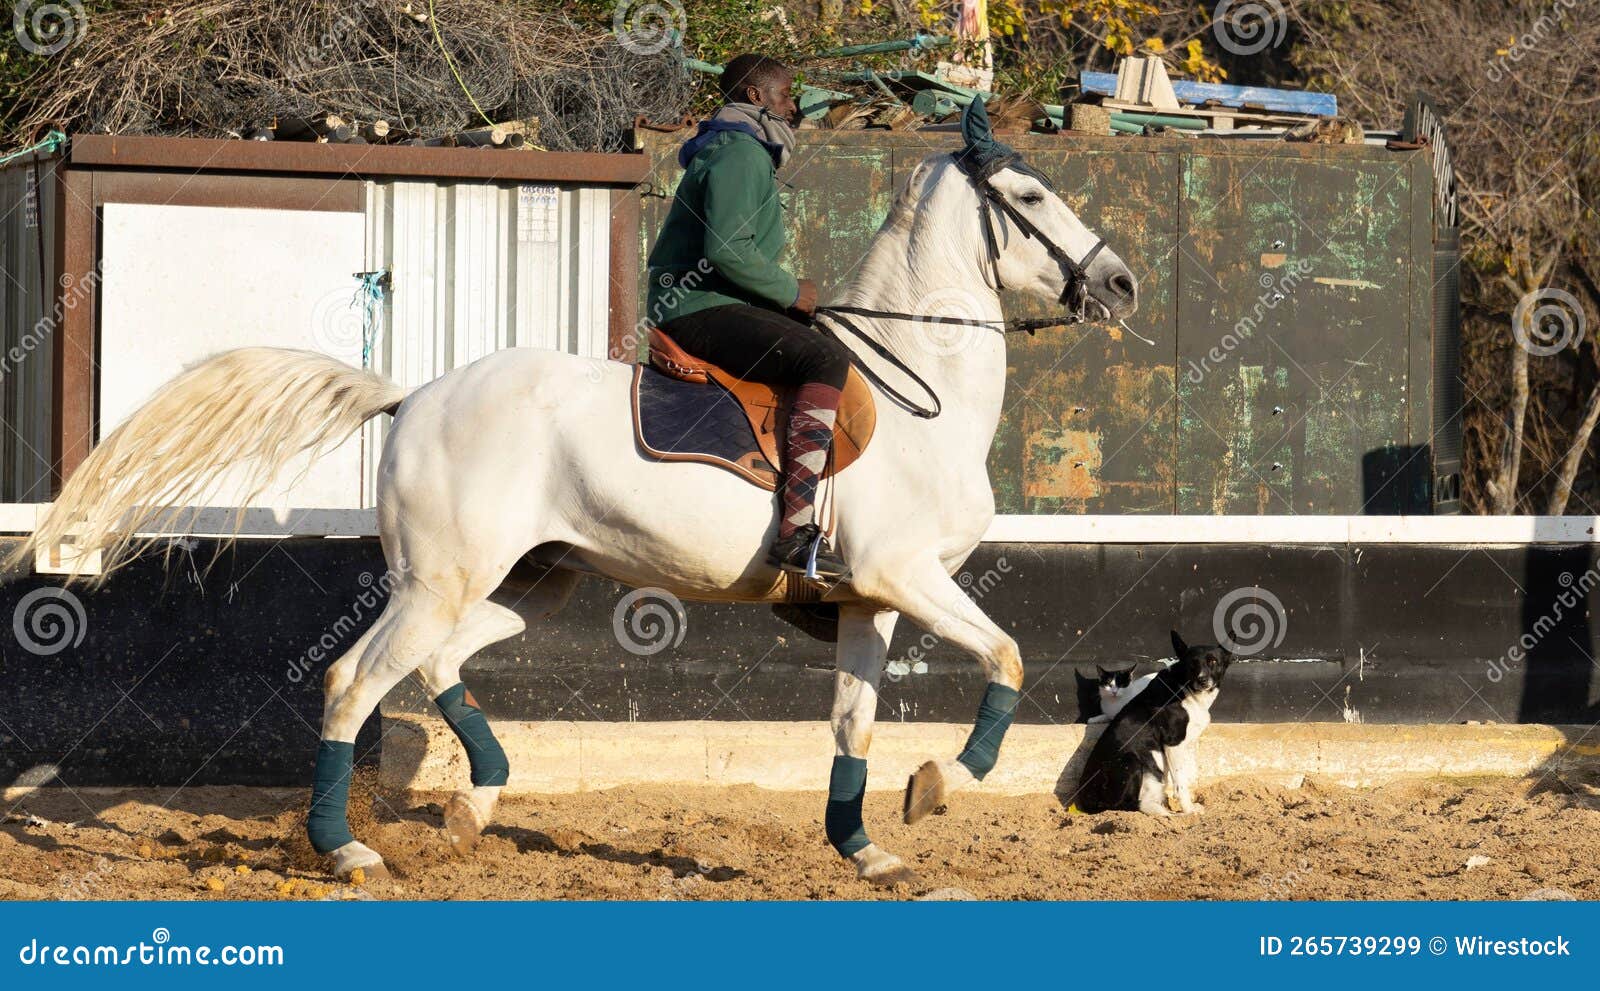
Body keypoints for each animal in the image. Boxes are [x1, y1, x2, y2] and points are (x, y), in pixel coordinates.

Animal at [16, 104, 1137, 887]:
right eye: (1031, 198)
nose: (1122, 283)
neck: (921, 388)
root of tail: (416, 393)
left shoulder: (869, 600)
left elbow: (852, 729)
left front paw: (867, 845)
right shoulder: (907, 579)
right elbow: (1009, 655)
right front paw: (945, 782)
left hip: (520, 581)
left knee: (439, 666)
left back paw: (477, 802)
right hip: (441, 581)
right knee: (351, 681)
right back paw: (349, 852)